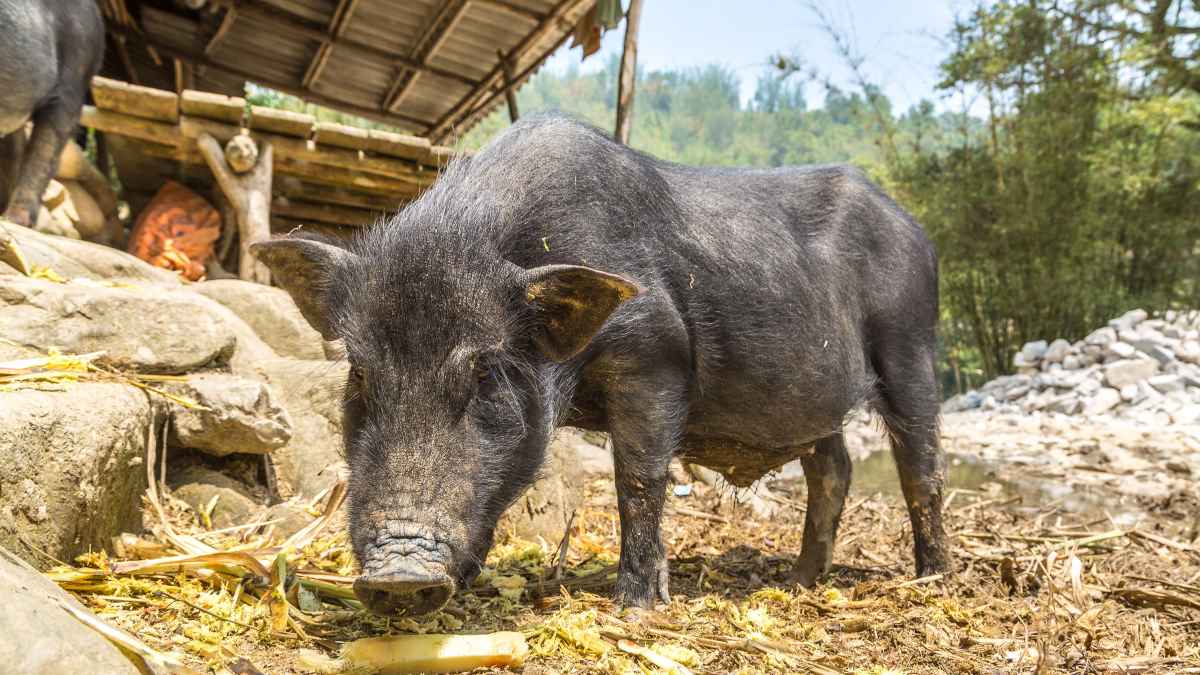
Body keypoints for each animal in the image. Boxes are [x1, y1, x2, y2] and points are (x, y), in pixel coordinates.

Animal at [254, 113, 950, 616]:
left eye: (484, 372)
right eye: (361, 373)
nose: (399, 574)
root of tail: (917, 228)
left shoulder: (655, 355)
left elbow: (638, 480)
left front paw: (636, 606)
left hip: (911, 341)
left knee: (921, 466)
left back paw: (932, 579)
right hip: (817, 403)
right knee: (833, 468)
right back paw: (802, 579)